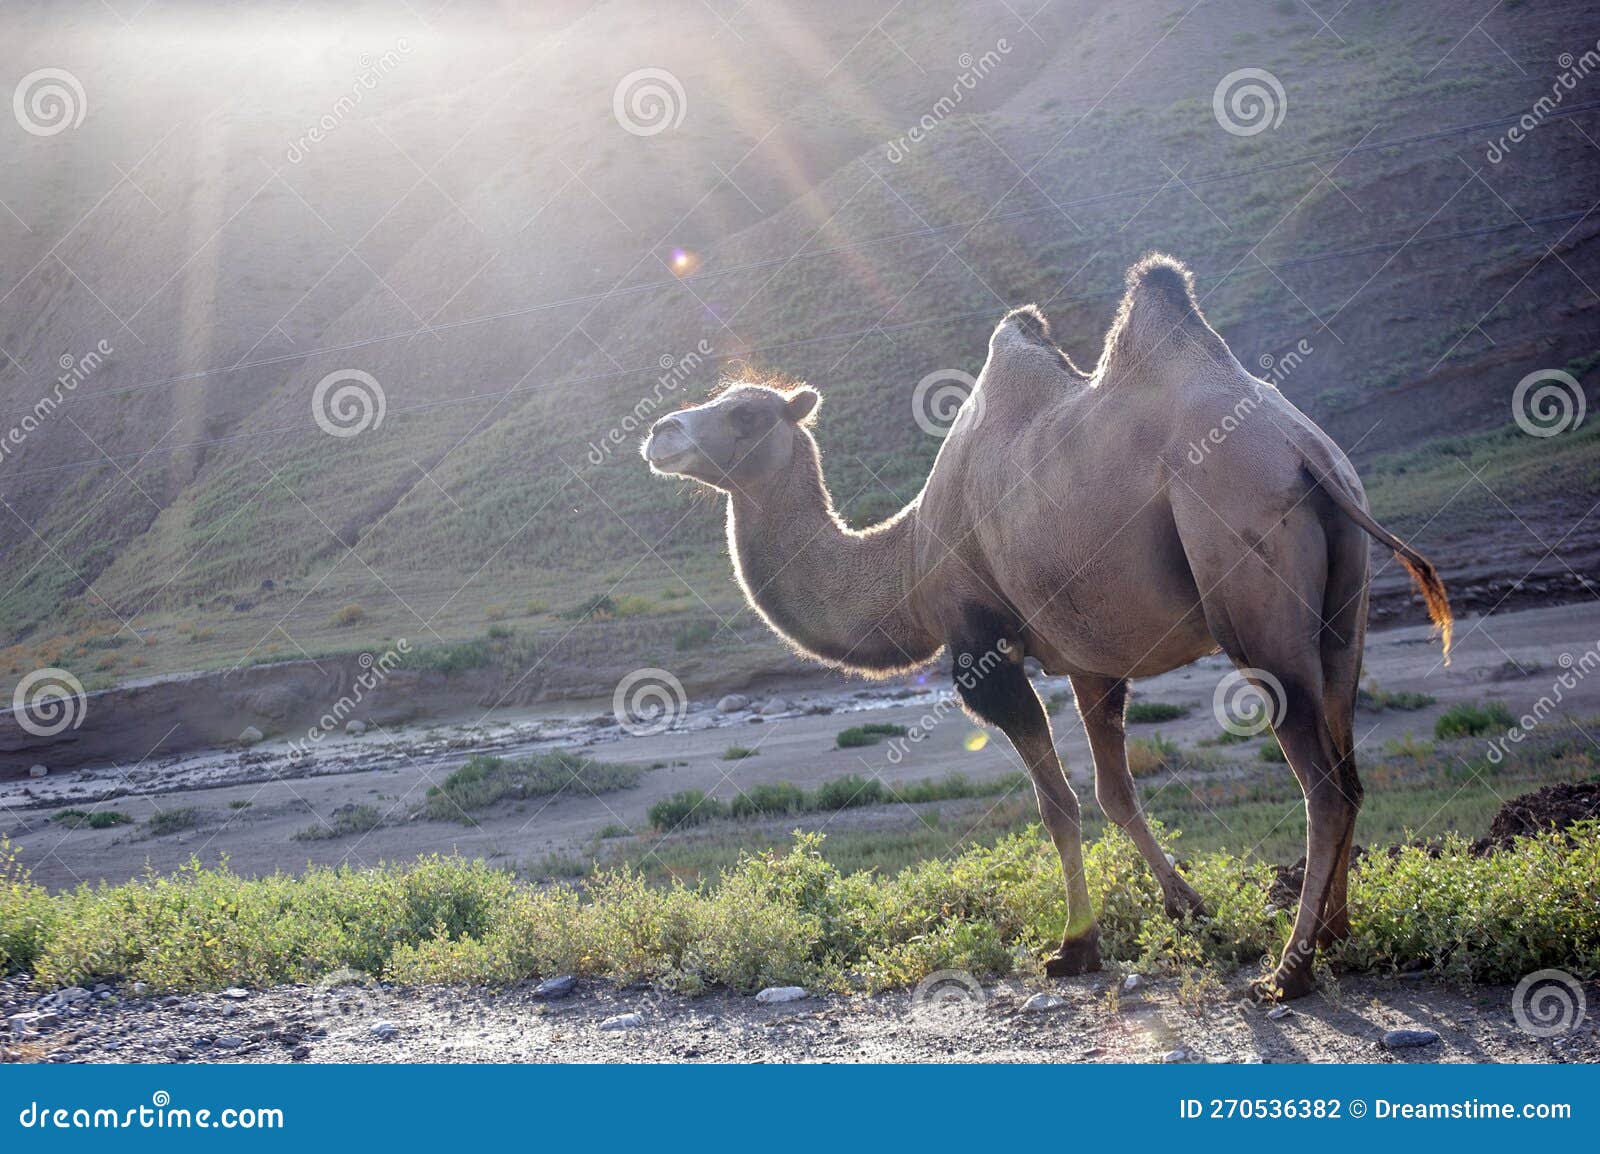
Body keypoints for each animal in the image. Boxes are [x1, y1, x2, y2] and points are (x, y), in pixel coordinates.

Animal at [641, 254, 1452, 999]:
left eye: (746, 414)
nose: (659, 432)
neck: (910, 563)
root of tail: (1305, 453)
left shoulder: (982, 650)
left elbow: (1055, 804)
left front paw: (1076, 949)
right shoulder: (1092, 656)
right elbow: (1114, 794)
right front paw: (1189, 909)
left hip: (1249, 578)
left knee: (1322, 780)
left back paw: (1291, 968)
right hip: (1344, 603)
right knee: (1348, 760)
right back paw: (1337, 931)